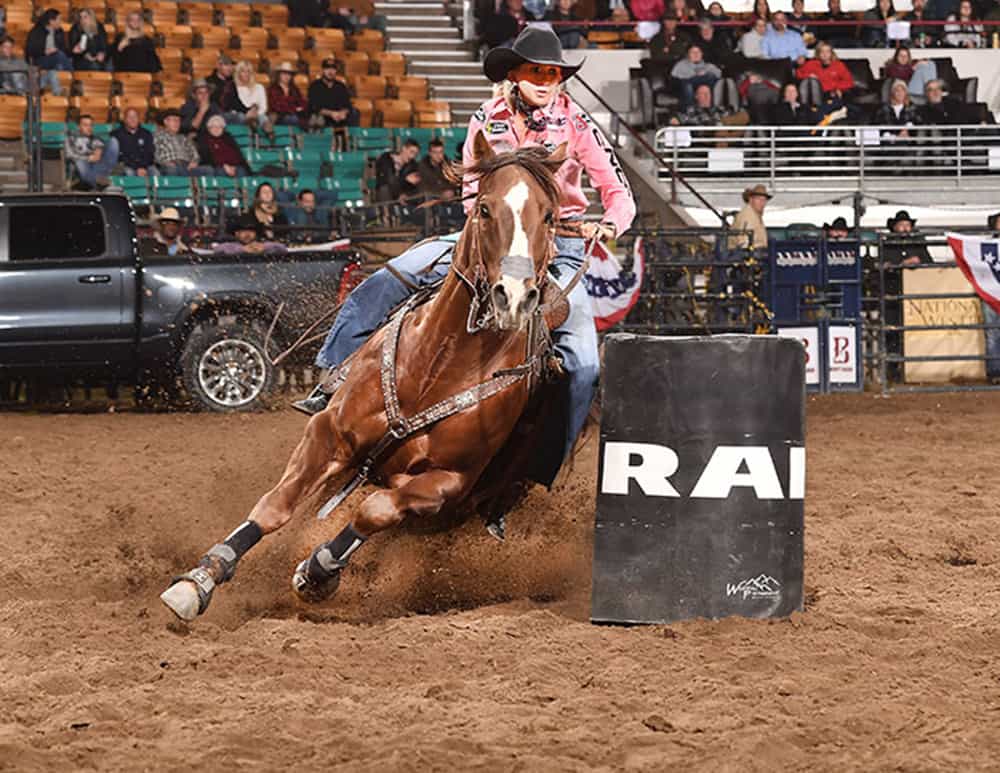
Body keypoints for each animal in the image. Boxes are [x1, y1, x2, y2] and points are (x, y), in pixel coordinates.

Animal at [160, 134, 574, 621]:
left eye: (548, 215)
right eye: (485, 209)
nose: (512, 297)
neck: (435, 368)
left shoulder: (446, 483)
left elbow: (373, 513)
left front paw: (316, 573)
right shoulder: (328, 432)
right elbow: (275, 507)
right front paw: (198, 580)